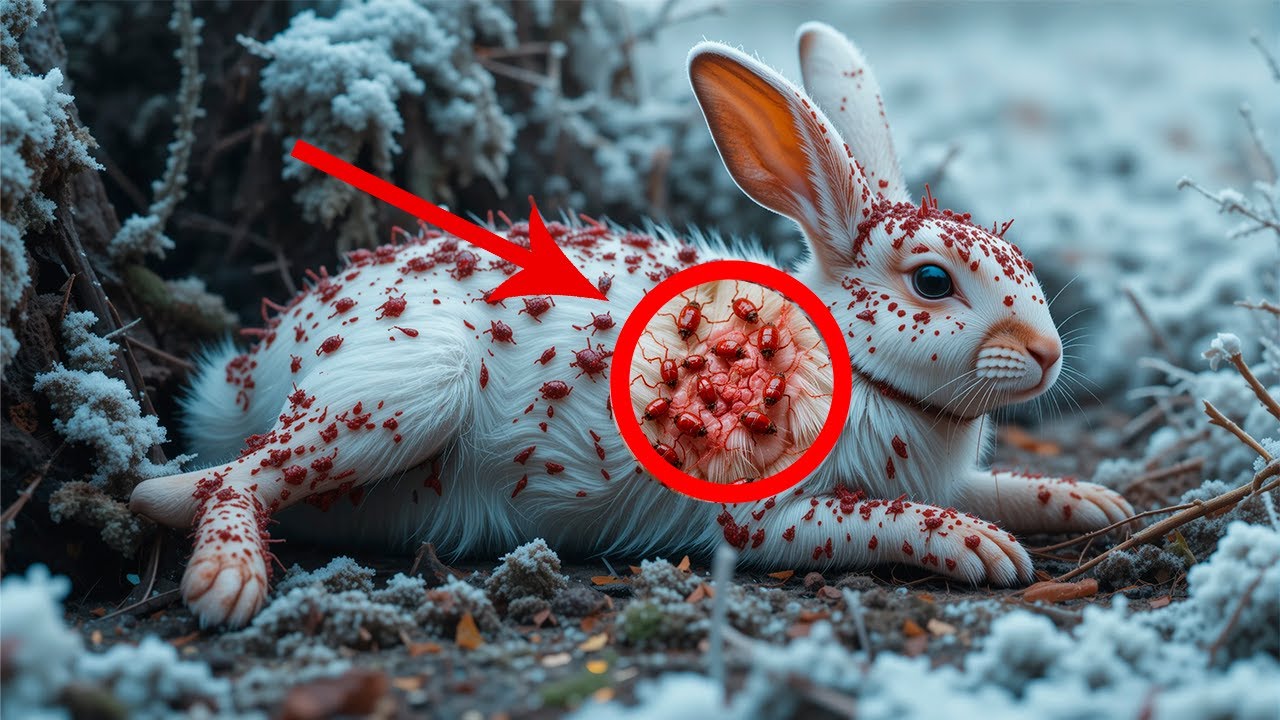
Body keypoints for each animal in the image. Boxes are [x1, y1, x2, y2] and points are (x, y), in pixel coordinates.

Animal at [130, 22, 1134, 628]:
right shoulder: (764, 514)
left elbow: (992, 483)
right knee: (208, 484)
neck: (850, 357)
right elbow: (880, 515)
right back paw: (226, 584)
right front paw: (975, 546)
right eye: (932, 281)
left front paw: (1085, 501)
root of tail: (251, 370)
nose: (1048, 355)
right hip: (400, 391)